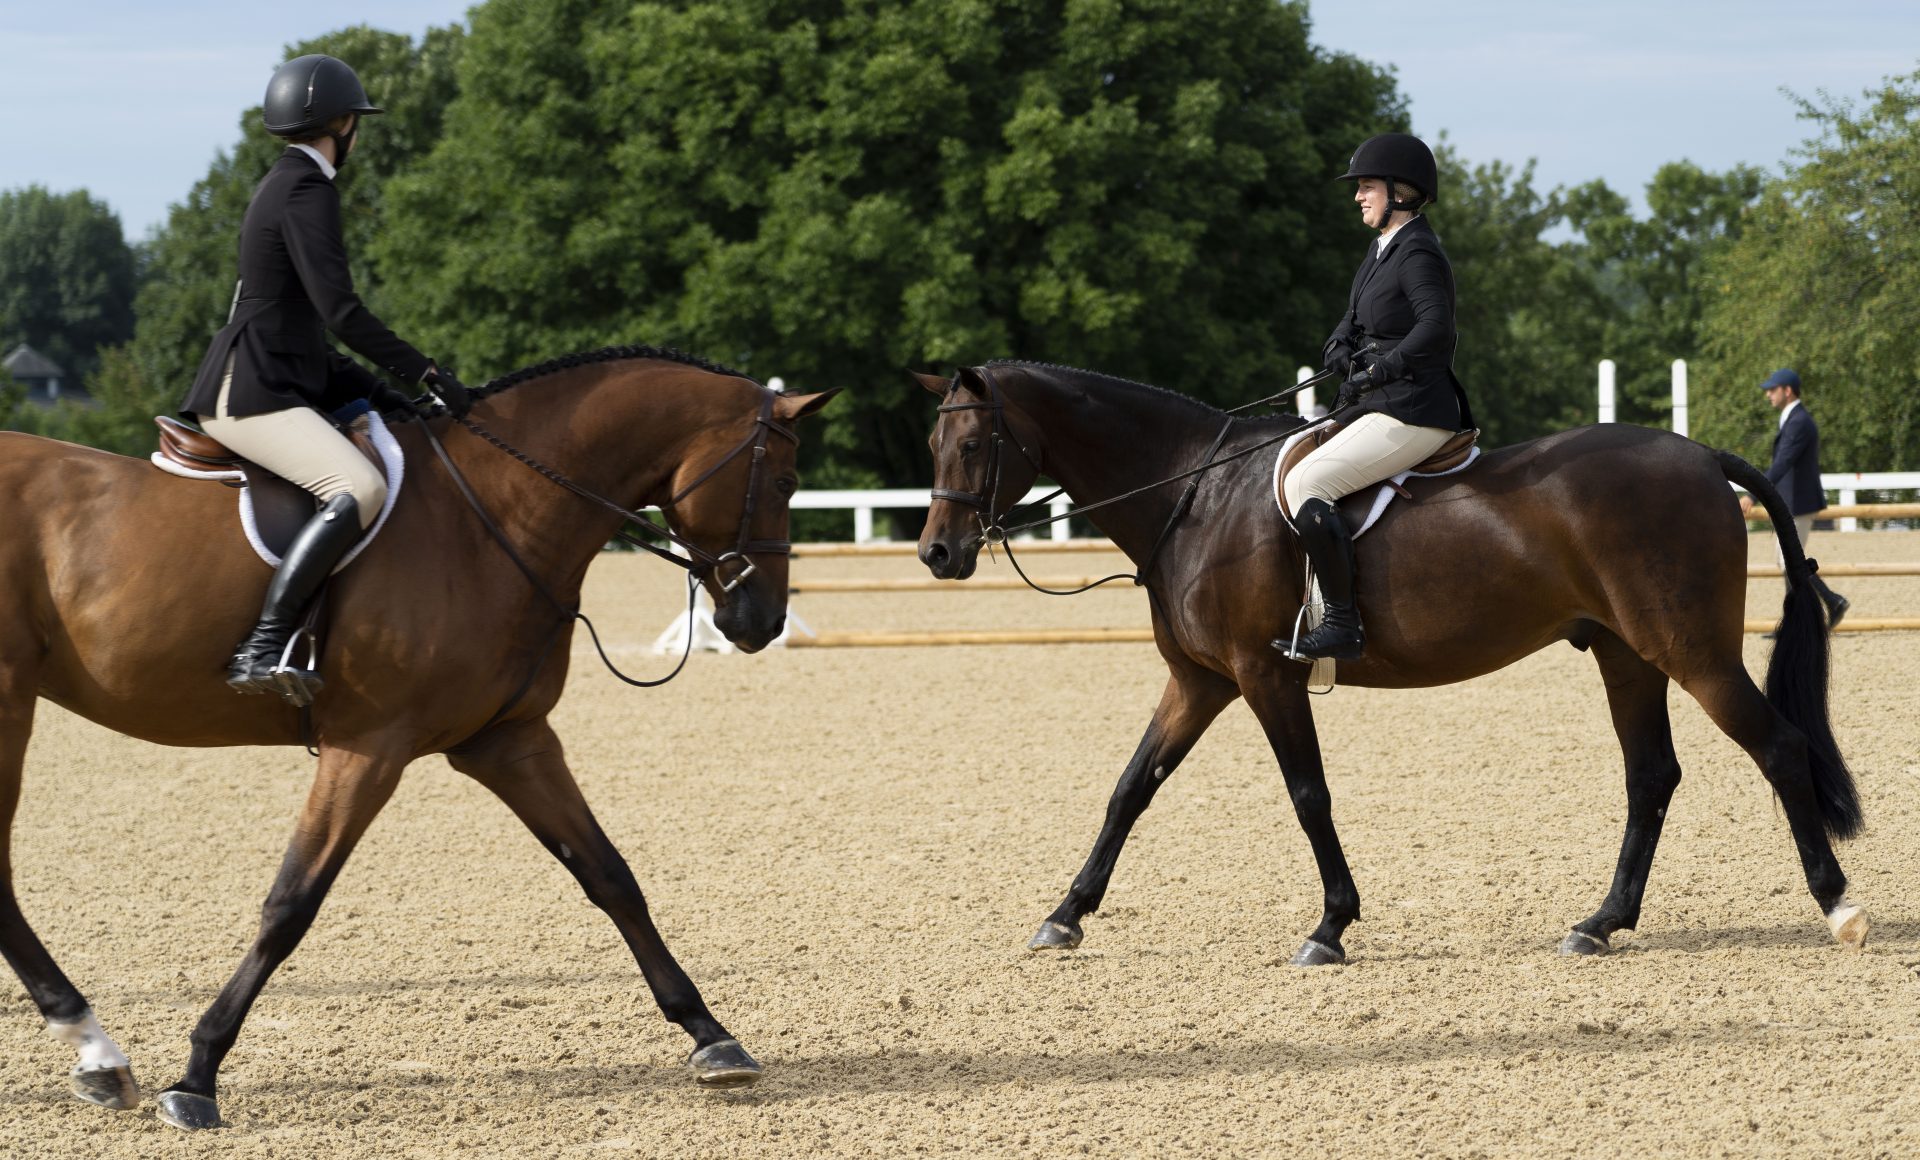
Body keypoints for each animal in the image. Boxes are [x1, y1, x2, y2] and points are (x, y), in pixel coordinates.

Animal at [0, 345, 838, 1129]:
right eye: (785, 484)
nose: (760, 621)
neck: (496, 512)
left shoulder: (511, 740)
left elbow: (610, 877)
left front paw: (712, 1037)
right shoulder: (370, 746)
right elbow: (292, 903)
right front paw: (198, 1076)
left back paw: (97, 1057)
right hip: (11, 700)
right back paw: (99, 1050)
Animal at [914, 361, 1864, 972]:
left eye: (974, 446)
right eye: (932, 444)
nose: (937, 554)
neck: (1193, 495)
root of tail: (1704, 456)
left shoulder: (1263, 677)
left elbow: (1308, 796)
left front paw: (1330, 927)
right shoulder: (1200, 682)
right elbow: (1129, 790)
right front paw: (1063, 916)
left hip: (1691, 651)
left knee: (1778, 749)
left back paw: (1839, 906)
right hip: (1627, 655)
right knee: (1652, 776)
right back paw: (1600, 923)